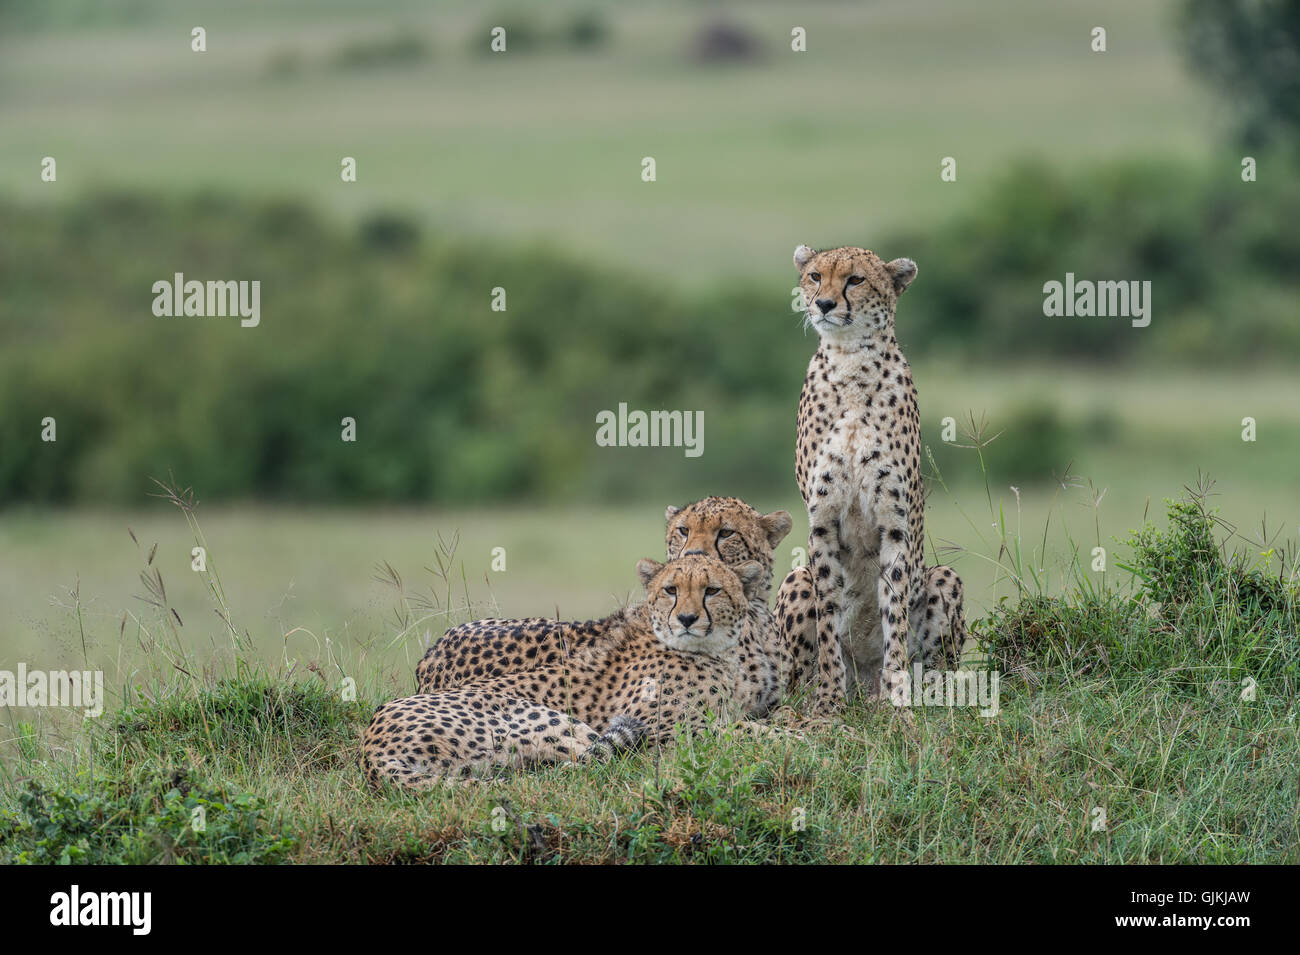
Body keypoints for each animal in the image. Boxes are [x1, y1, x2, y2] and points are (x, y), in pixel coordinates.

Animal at [362, 554, 784, 788]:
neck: (710, 652)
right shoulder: (668, 731)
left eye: (712, 590)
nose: (687, 618)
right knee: (592, 763)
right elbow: (741, 731)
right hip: (552, 722)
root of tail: (370, 747)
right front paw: (790, 739)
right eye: (671, 590)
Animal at [787, 243, 968, 713]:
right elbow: (828, 620)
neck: (850, 361)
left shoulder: (895, 525)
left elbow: (894, 615)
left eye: (855, 280)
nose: (824, 304)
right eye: (815, 276)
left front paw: (896, 697)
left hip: (945, 579)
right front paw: (829, 699)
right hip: (796, 580)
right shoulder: (822, 520)